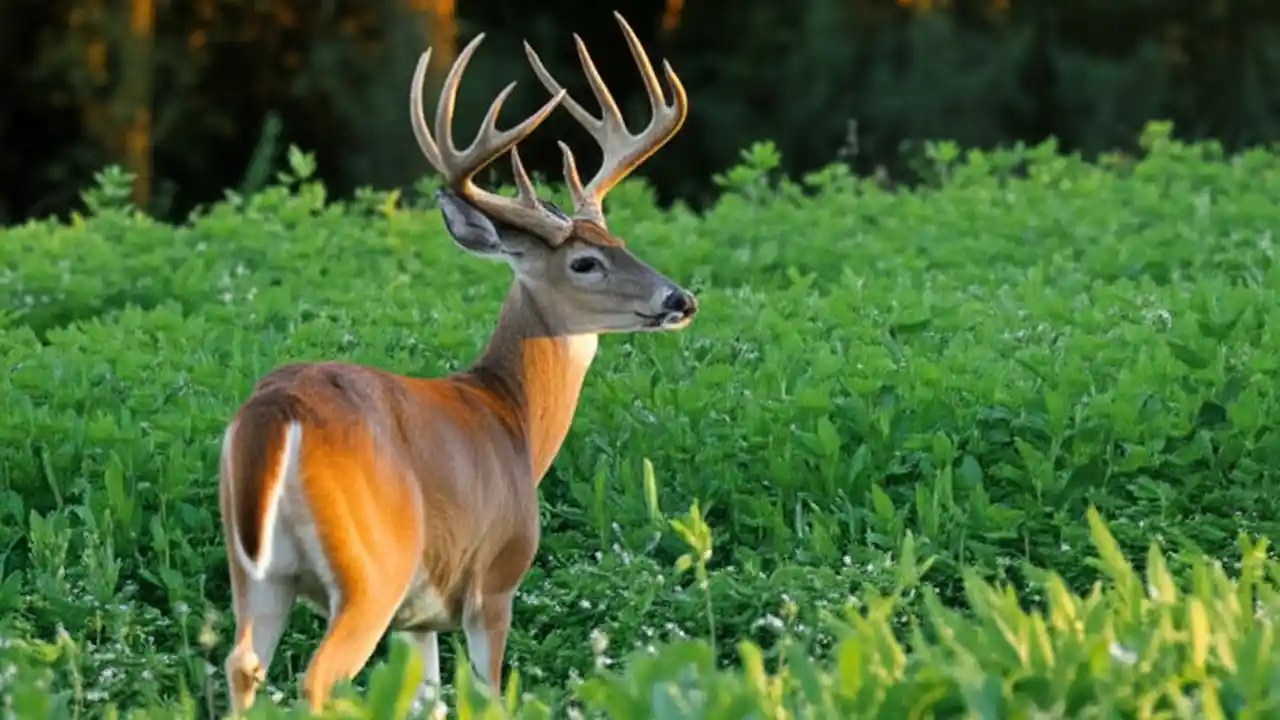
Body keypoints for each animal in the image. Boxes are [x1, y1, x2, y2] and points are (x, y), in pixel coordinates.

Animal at [217, 11, 695, 716]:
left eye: (621, 242)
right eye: (585, 262)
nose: (679, 299)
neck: (512, 418)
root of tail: (279, 411)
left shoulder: (419, 618)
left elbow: (431, 699)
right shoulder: (493, 580)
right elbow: (489, 695)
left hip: (254, 568)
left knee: (242, 665)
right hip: (371, 569)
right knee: (318, 677)